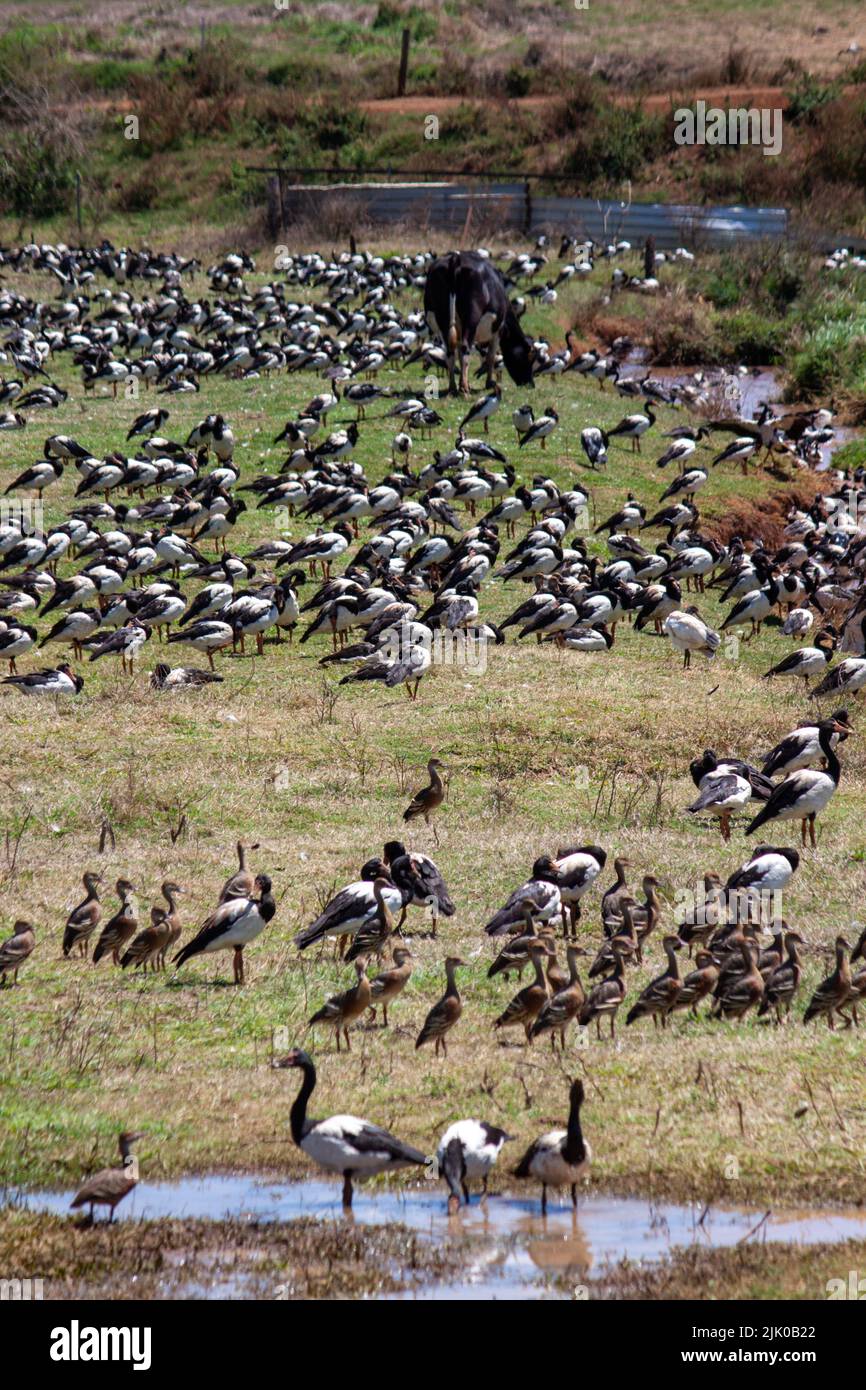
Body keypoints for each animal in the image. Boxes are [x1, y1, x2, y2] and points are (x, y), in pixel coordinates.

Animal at [424, 251, 535, 396]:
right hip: (472, 317)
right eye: (529, 358)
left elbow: (460, 355)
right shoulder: (498, 331)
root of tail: (455, 258)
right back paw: (464, 389)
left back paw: (453, 387)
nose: (530, 384)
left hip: (443, 318)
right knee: (465, 347)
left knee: (450, 350)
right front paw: (489, 383)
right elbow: (491, 356)